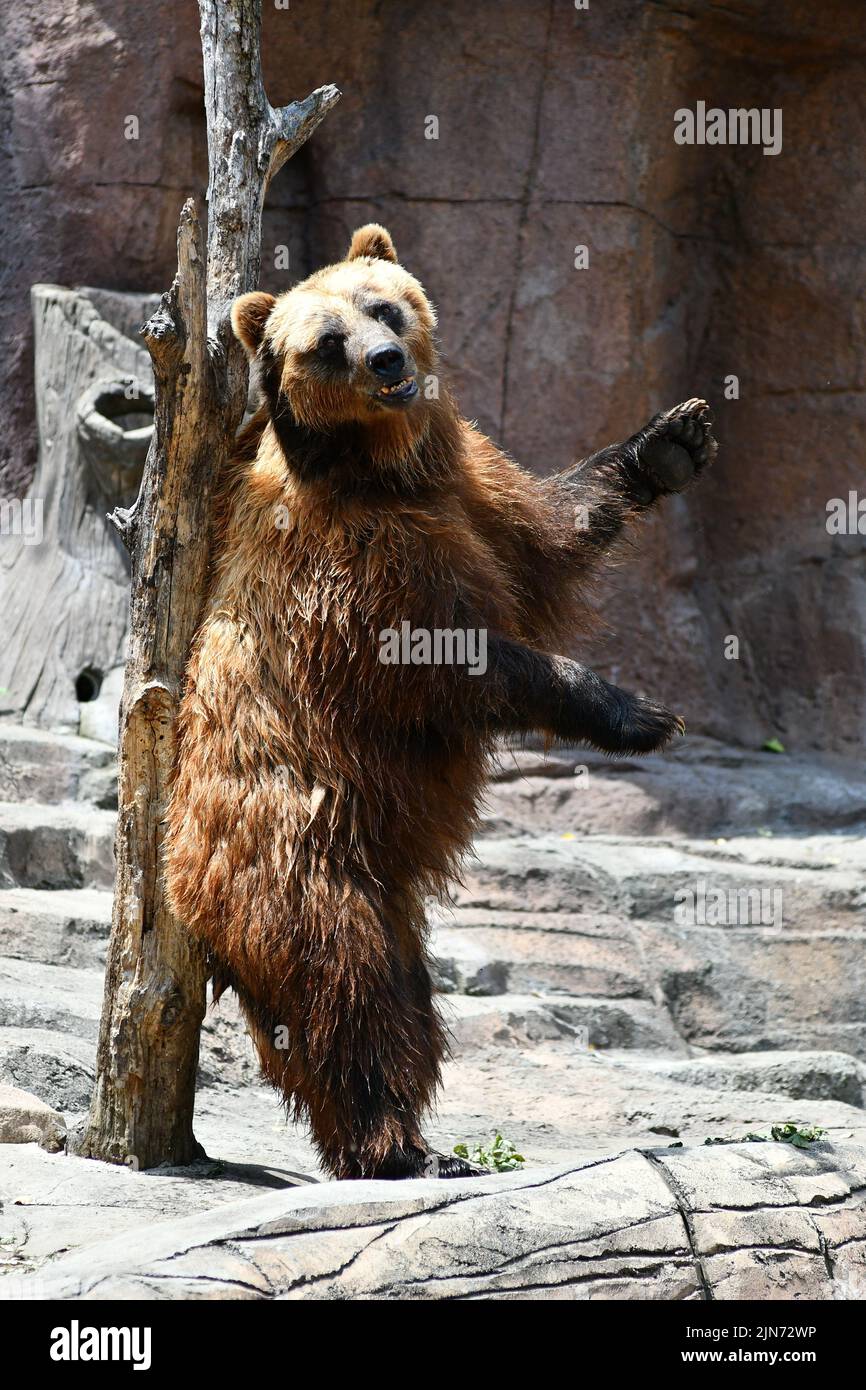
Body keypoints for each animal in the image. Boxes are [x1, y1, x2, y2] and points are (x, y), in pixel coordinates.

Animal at [164, 223, 716, 1181]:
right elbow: (456, 666)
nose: (388, 362)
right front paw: (639, 711)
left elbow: (552, 534)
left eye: (384, 305)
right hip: (295, 846)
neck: (388, 469)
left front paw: (670, 440)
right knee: (343, 984)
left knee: (404, 993)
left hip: (377, 877)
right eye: (327, 342)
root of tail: (178, 876)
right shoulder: (356, 576)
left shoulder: (477, 492)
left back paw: (414, 1140)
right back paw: (393, 1145)